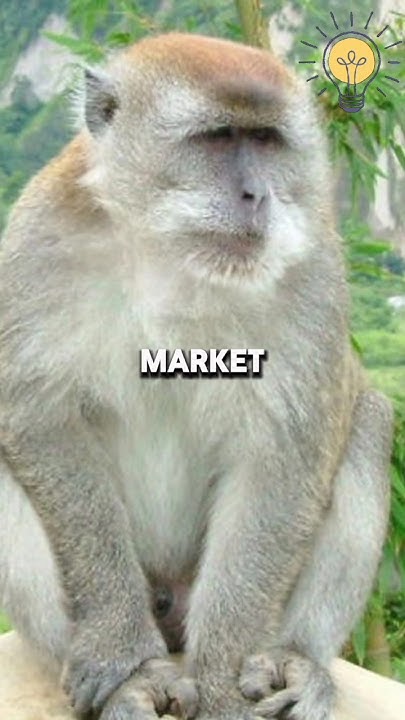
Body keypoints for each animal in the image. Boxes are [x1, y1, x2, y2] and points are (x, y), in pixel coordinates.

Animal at [0, 32, 393, 720]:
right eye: (216, 138)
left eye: (264, 141)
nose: (257, 195)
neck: (171, 254)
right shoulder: (39, 239)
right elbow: (37, 418)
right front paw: (120, 651)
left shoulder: (313, 266)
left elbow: (282, 455)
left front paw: (223, 685)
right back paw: (137, 679)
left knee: (367, 421)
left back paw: (300, 662)